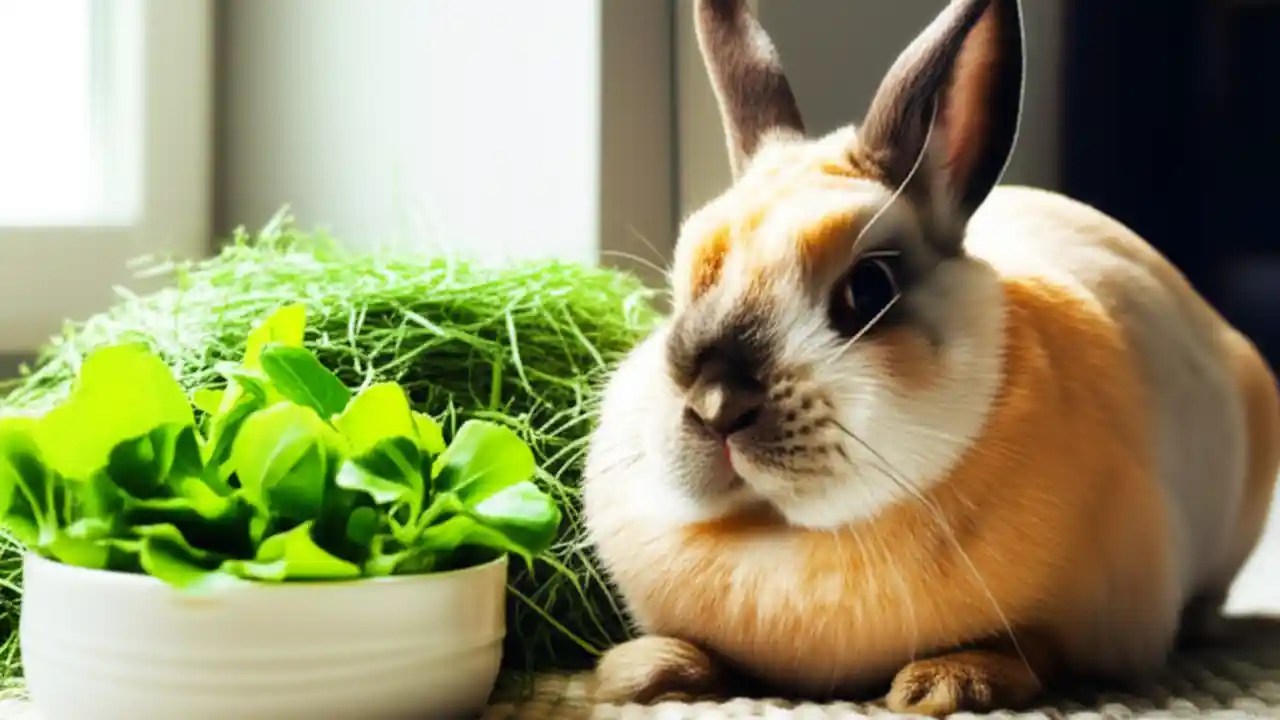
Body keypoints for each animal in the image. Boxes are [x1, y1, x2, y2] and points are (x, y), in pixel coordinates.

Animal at [581, 0, 1280, 715]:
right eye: (682, 285)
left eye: (868, 290)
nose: (716, 404)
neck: (788, 535)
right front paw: (640, 672)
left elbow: (1032, 649)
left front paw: (944, 684)